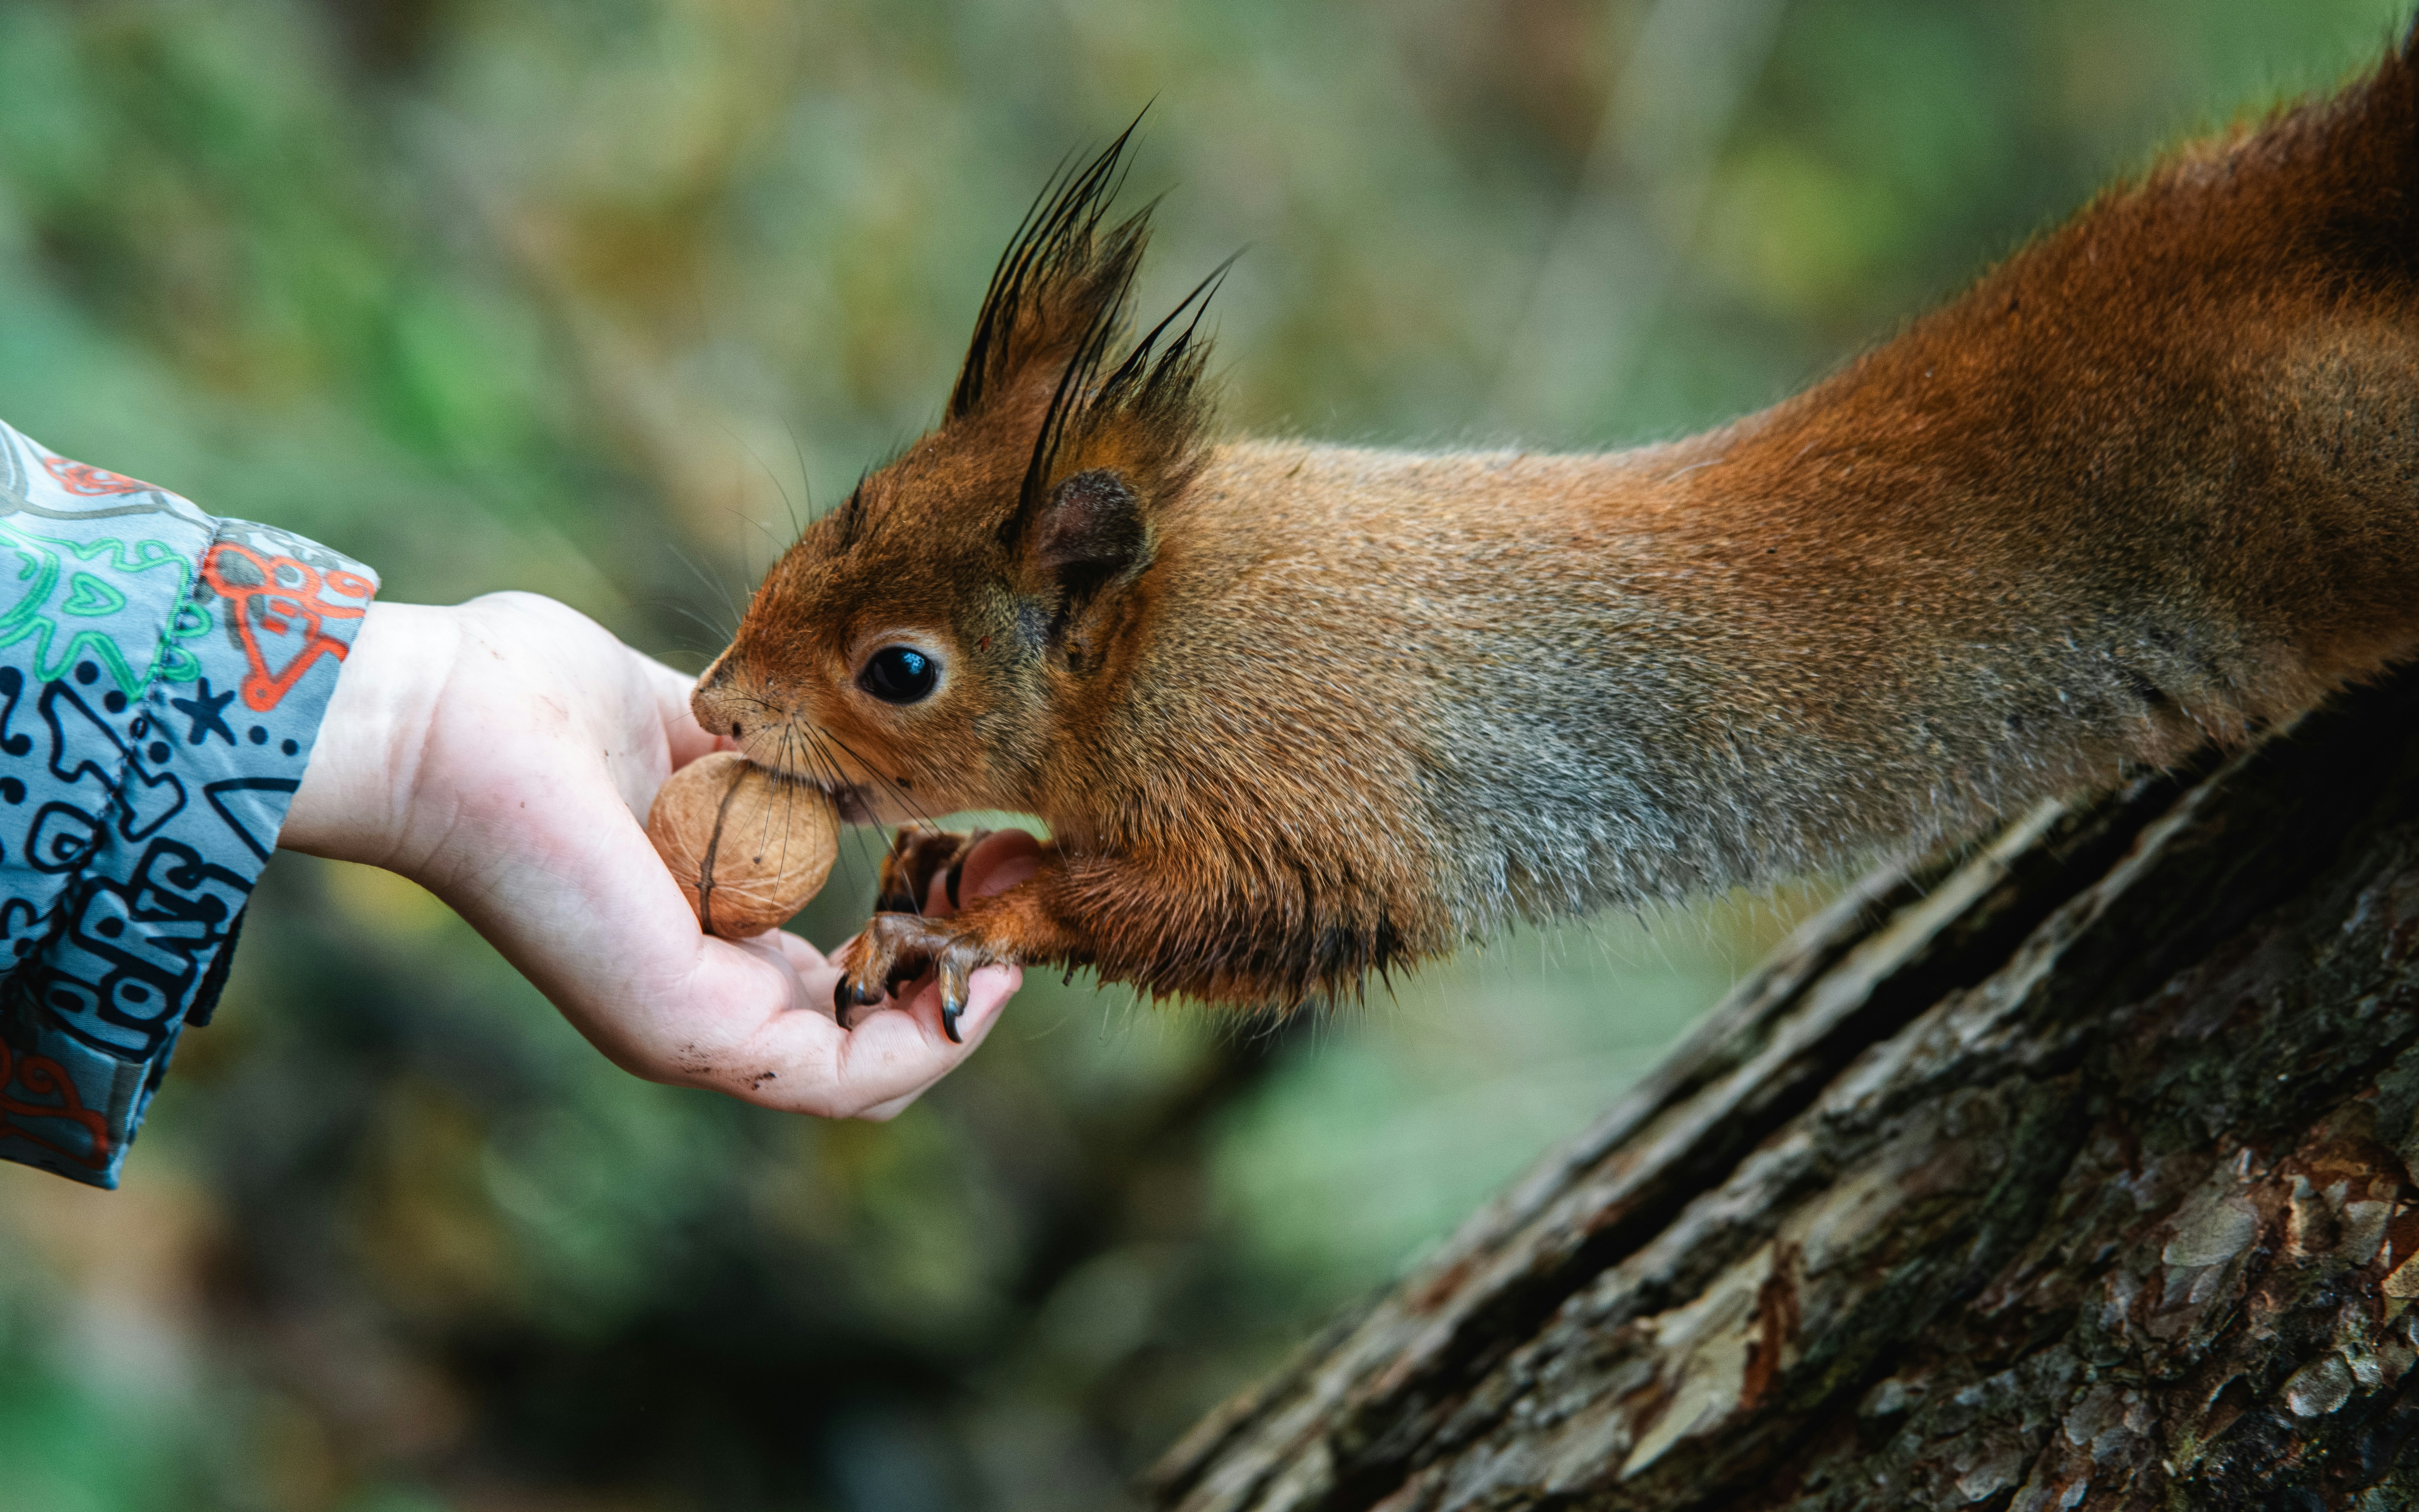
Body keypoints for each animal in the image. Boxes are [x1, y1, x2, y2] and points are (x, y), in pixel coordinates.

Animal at [694, 36, 2419, 1039]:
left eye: (899, 668)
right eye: (813, 534)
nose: (712, 706)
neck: (1161, 628)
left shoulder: (1308, 775)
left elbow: (1265, 914)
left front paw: (996, 897)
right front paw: (943, 862)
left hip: (2342, 459)